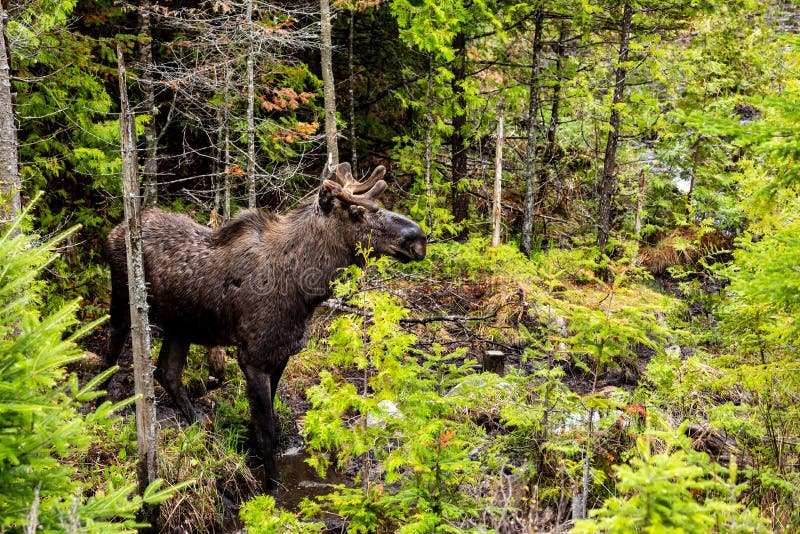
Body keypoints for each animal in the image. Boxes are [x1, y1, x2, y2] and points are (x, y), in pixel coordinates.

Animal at [104, 163, 427, 490]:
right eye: (357, 212)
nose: (418, 238)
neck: (304, 290)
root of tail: (114, 231)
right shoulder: (253, 357)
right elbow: (267, 432)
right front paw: (272, 486)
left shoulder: (282, 353)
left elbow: (265, 419)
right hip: (123, 300)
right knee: (111, 351)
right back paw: (99, 404)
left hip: (181, 326)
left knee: (167, 372)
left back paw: (203, 430)